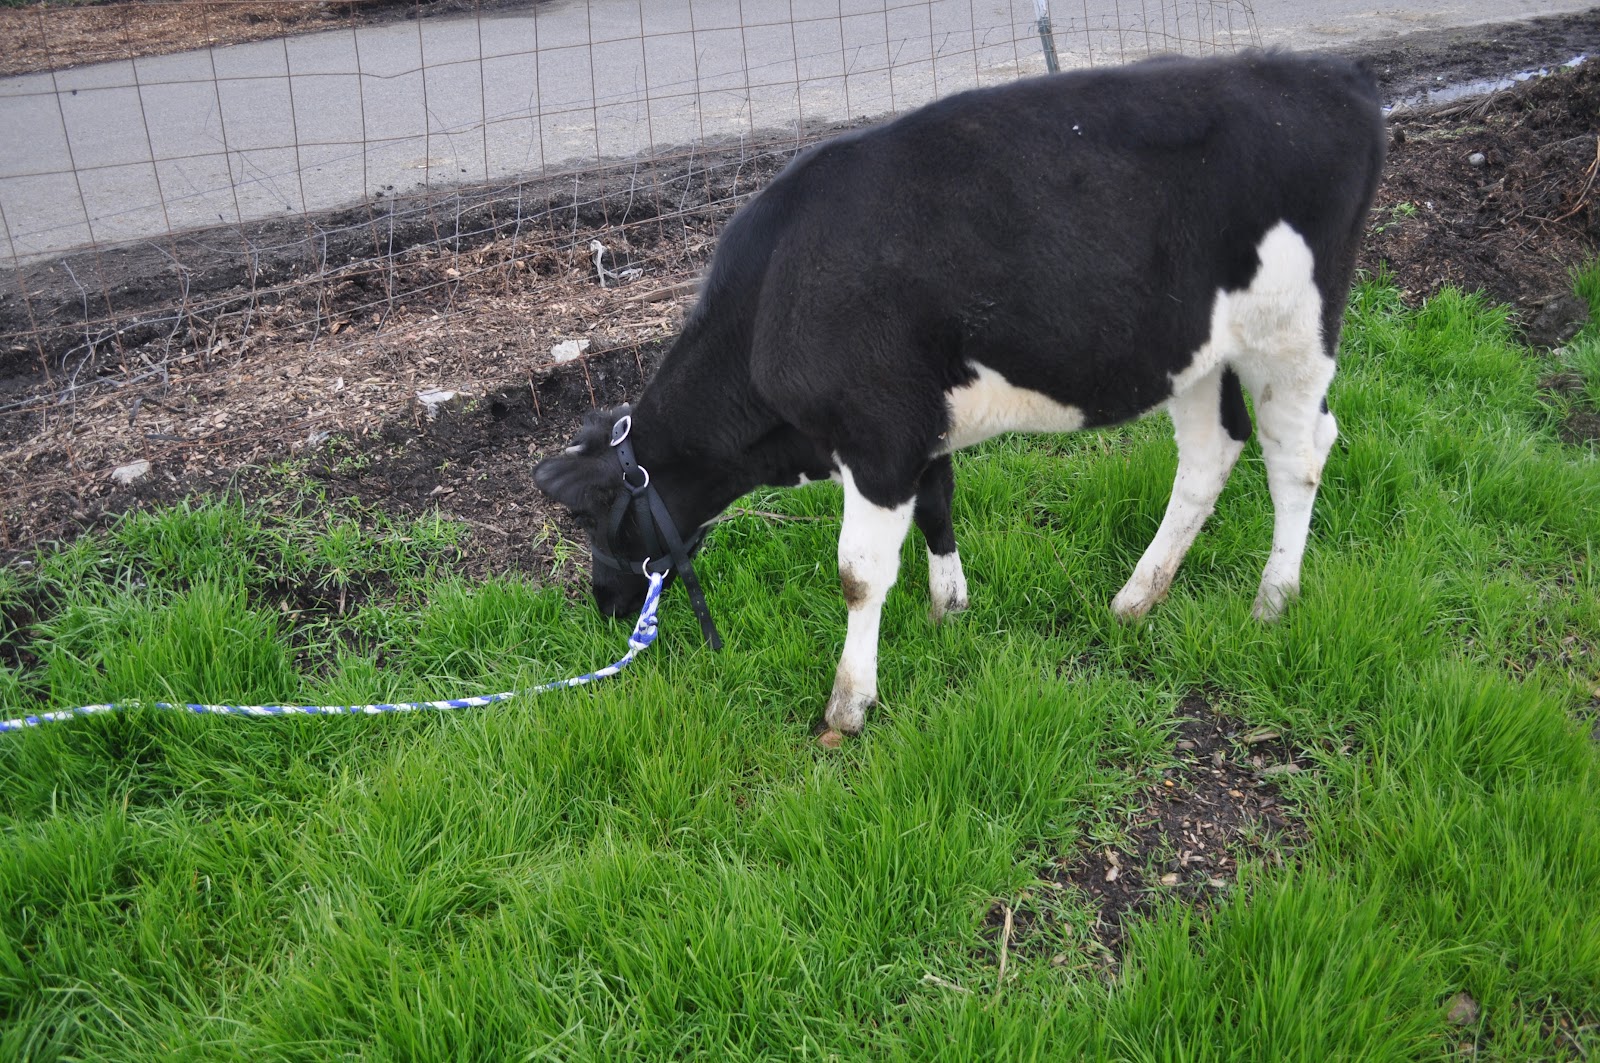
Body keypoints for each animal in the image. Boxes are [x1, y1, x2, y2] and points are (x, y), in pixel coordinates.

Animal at [534, 50, 1386, 737]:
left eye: (588, 514)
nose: (603, 604)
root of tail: (1332, 74)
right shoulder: (917, 423)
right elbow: (938, 506)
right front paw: (950, 611)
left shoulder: (876, 438)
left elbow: (858, 573)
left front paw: (848, 705)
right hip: (1198, 350)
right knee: (1211, 456)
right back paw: (1137, 598)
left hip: (1293, 331)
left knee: (1299, 455)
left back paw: (1272, 599)